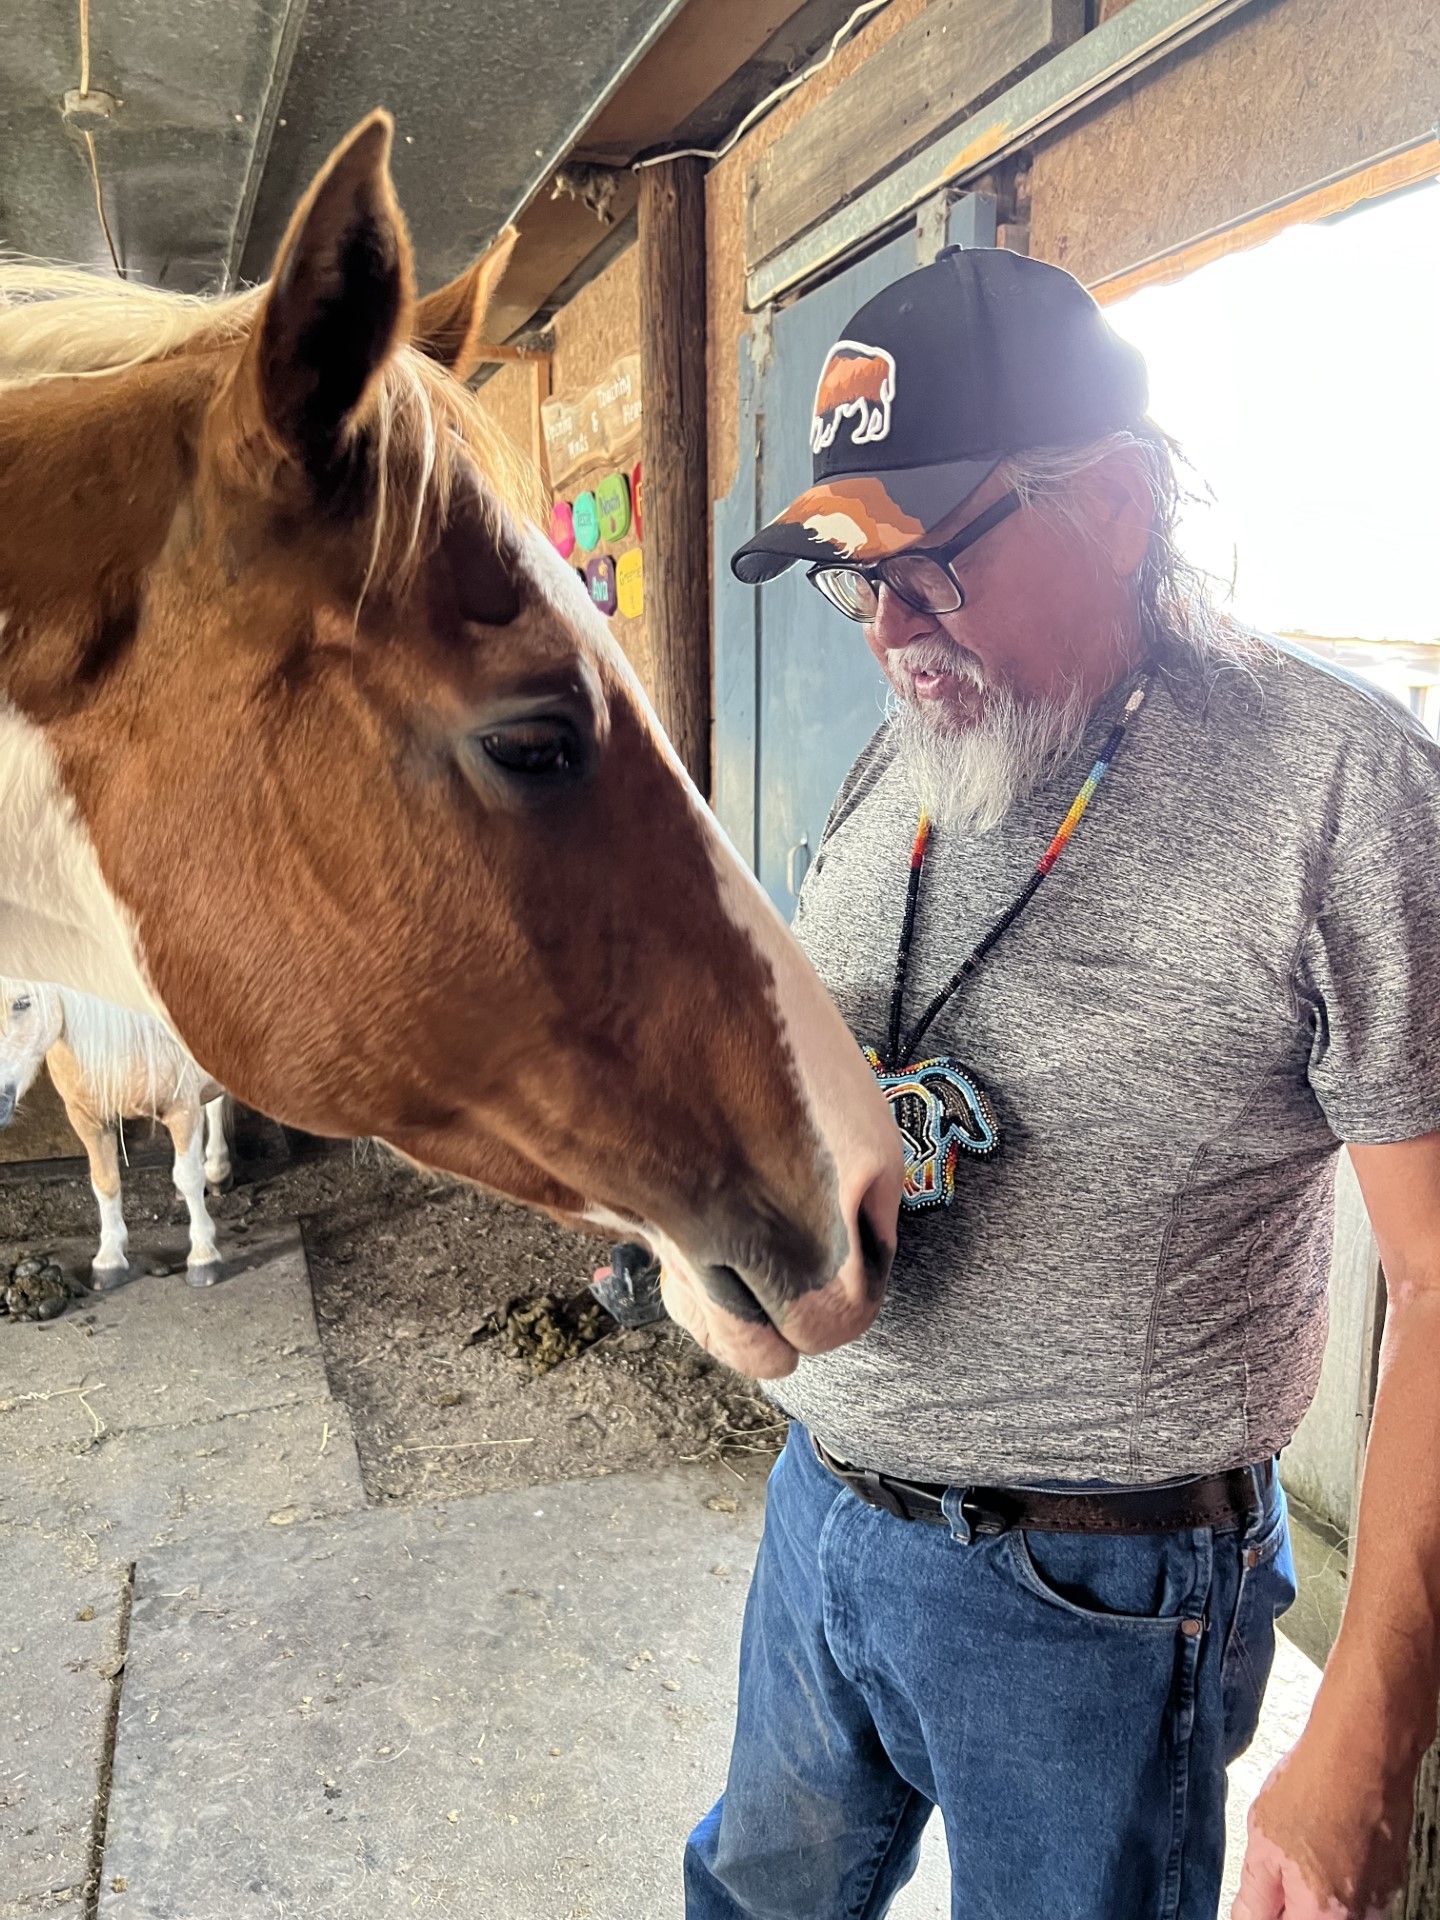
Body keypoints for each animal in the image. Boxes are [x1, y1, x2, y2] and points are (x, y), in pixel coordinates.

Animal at [0, 980, 232, 1288]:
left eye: (23, 1002)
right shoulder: (89, 1121)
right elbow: (105, 1182)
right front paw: (109, 1260)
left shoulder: (181, 1109)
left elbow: (189, 1176)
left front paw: (203, 1256)